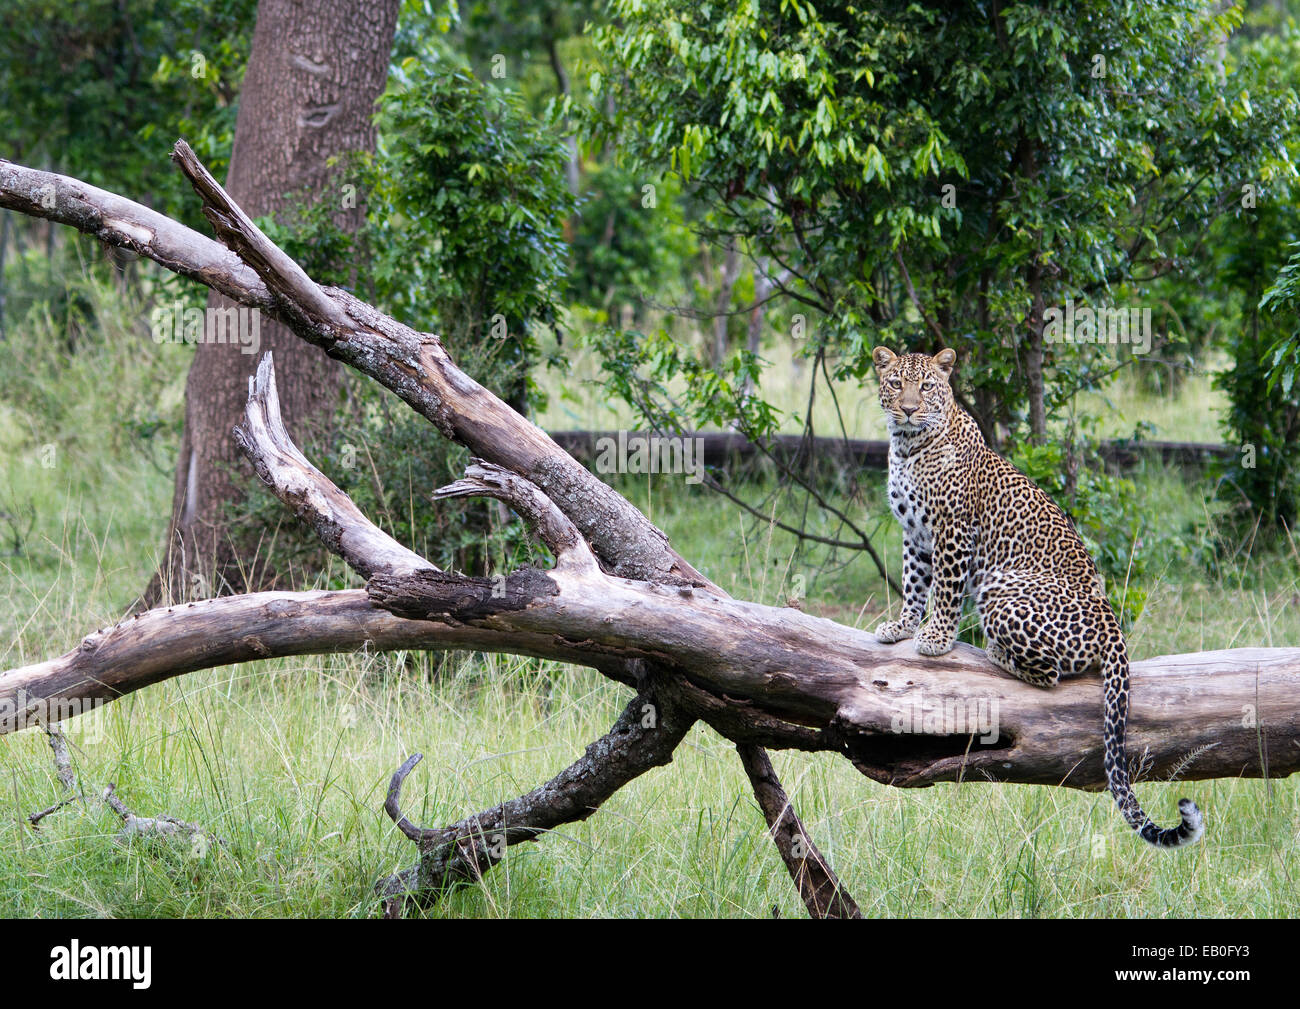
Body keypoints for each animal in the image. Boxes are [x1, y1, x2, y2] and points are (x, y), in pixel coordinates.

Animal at [871, 346, 1203, 848]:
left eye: (926, 386)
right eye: (896, 384)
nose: (909, 409)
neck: (907, 446)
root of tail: (1113, 627)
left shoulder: (953, 531)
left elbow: (944, 589)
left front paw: (936, 639)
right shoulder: (914, 534)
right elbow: (913, 583)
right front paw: (901, 627)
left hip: (1000, 591)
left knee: (1050, 675)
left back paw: (995, 653)